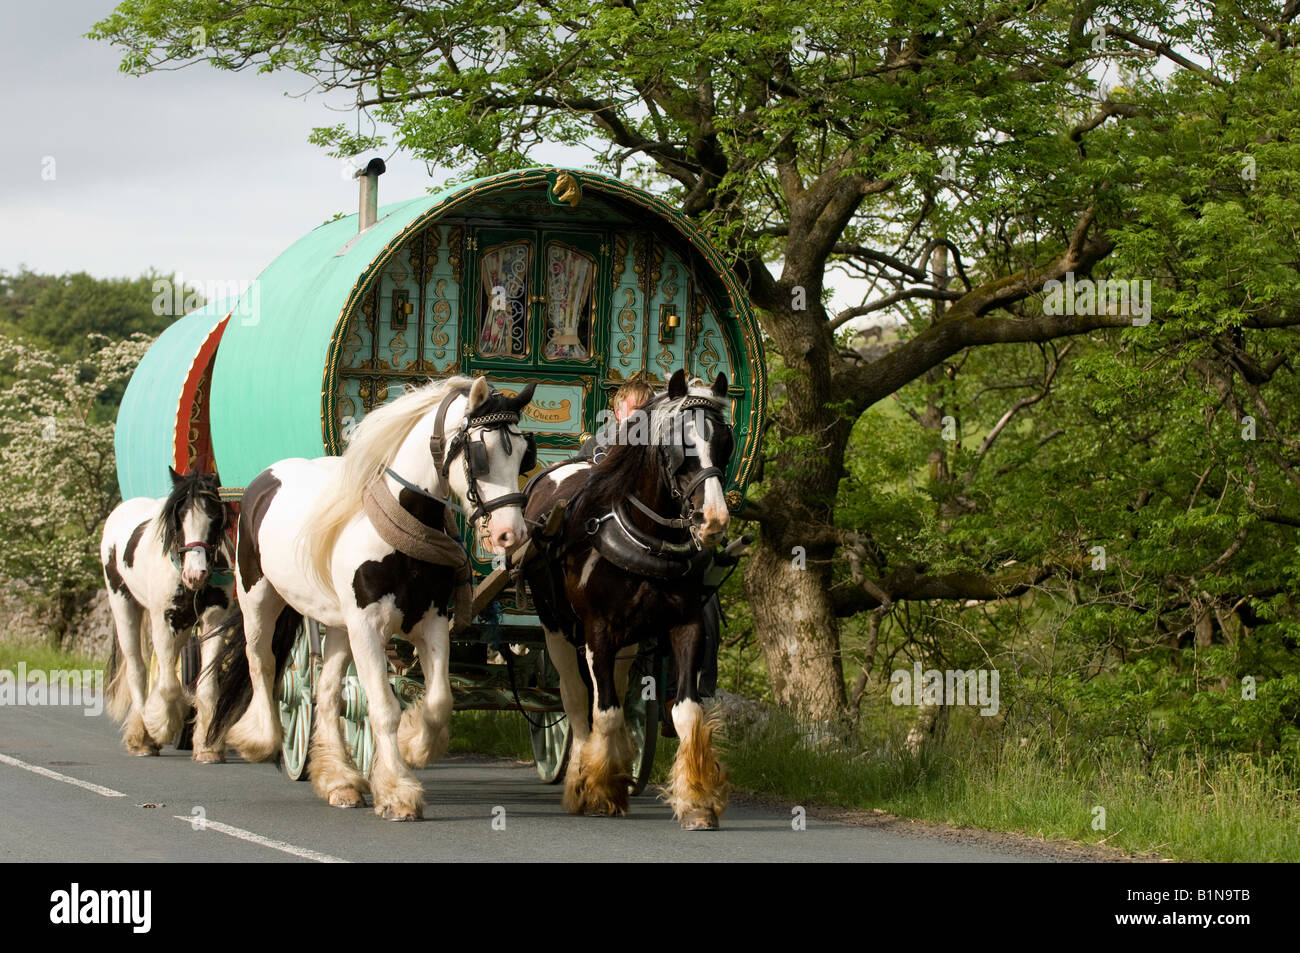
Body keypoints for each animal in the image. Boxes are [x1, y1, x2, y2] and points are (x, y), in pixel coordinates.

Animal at [101, 468, 236, 761]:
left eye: (215, 517)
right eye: (179, 516)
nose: (196, 574)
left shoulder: (214, 618)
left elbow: (206, 685)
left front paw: (207, 745)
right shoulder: (162, 618)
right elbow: (168, 684)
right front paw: (160, 726)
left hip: (183, 623)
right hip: (124, 605)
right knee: (138, 669)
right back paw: (141, 735)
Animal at [206, 375, 537, 820]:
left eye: (522, 456)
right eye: (481, 453)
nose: (510, 534)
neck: (399, 527)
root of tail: (269, 474)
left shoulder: (431, 620)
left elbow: (439, 699)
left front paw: (415, 745)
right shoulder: (368, 625)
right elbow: (381, 708)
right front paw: (398, 791)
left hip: (339, 624)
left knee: (328, 693)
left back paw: (340, 780)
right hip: (258, 597)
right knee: (263, 661)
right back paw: (261, 737)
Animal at [522, 369, 734, 829]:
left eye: (724, 442)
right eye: (679, 444)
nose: (713, 520)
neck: (643, 536)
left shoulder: (684, 624)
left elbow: (687, 711)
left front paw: (696, 800)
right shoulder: (597, 632)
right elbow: (603, 710)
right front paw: (598, 790)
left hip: (629, 640)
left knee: (613, 689)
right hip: (555, 626)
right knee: (576, 699)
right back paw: (581, 778)